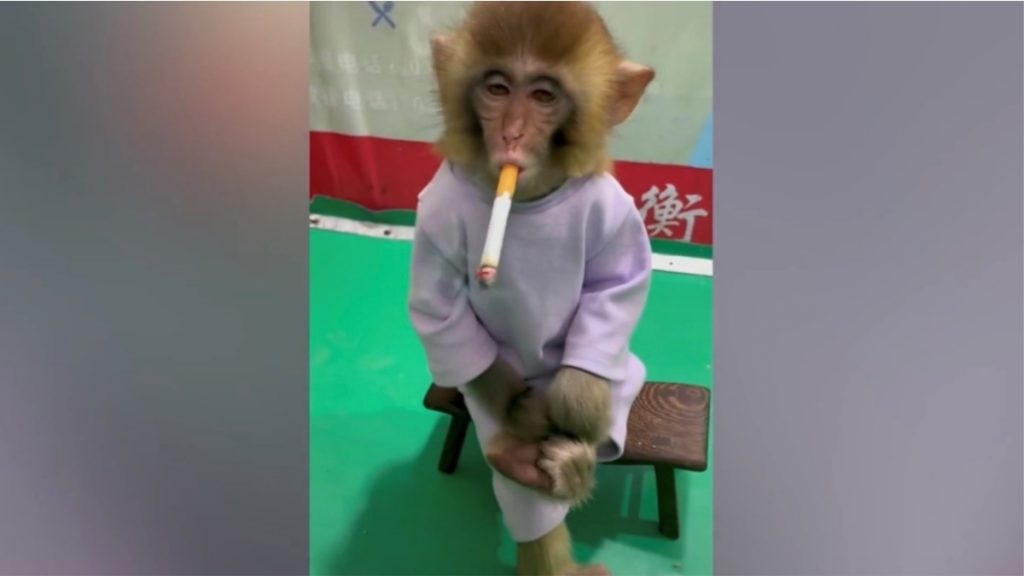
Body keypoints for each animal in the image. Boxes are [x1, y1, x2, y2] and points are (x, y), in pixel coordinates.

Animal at [407, 3, 654, 575]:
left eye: (543, 96)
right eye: (497, 89)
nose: (513, 135)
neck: (527, 197)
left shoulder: (613, 209)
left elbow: (618, 282)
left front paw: (573, 400)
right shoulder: (434, 212)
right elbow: (441, 312)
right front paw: (525, 408)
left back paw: (574, 464)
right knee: (520, 484)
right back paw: (524, 465)